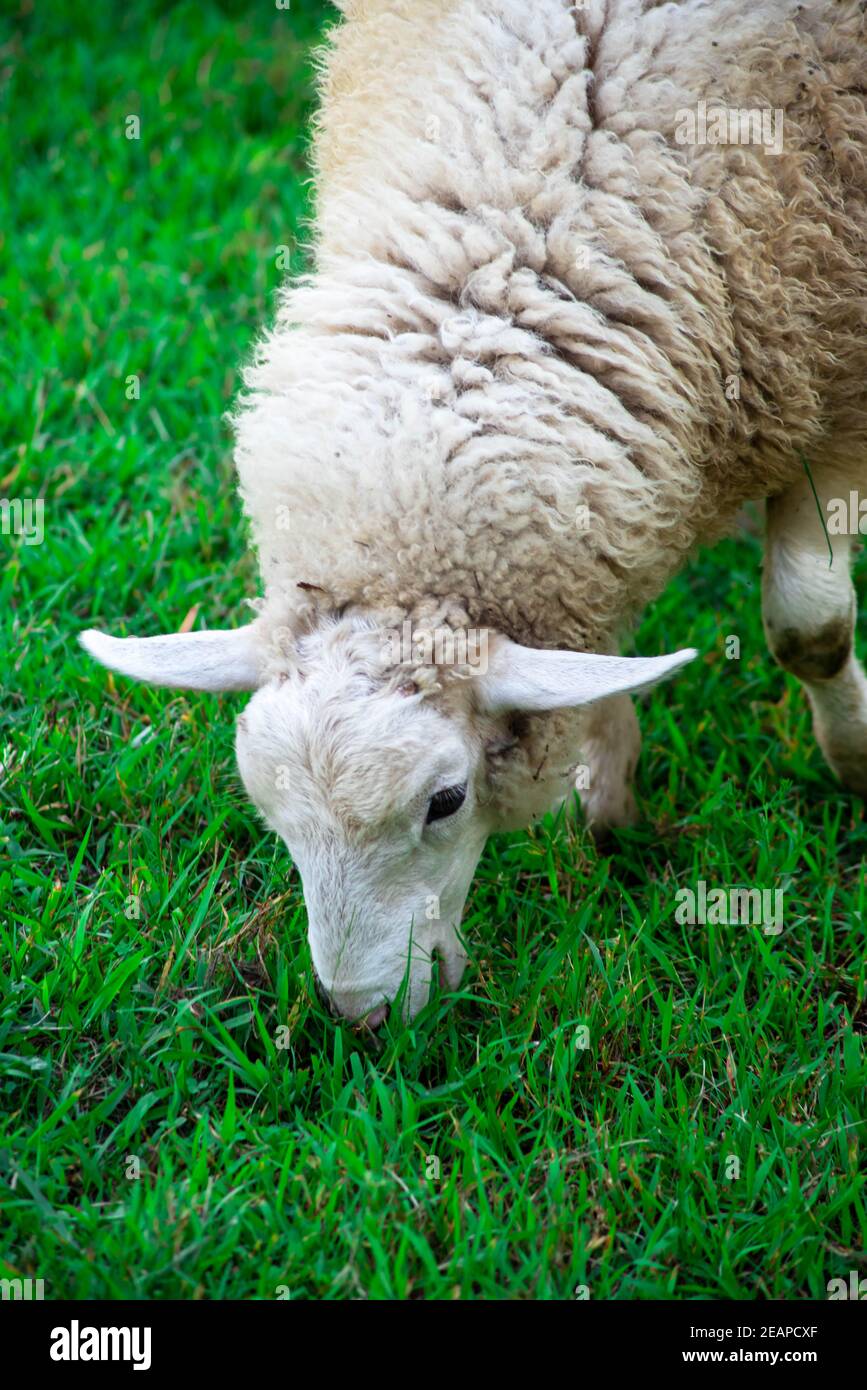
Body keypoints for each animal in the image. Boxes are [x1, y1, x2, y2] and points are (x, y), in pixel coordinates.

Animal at [82, 0, 867, 1025]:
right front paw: (603, 793)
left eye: (446, 801)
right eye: (271, 813)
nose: (362, 1015)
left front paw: (853, 761)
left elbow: (809, 628)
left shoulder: (836, 385)